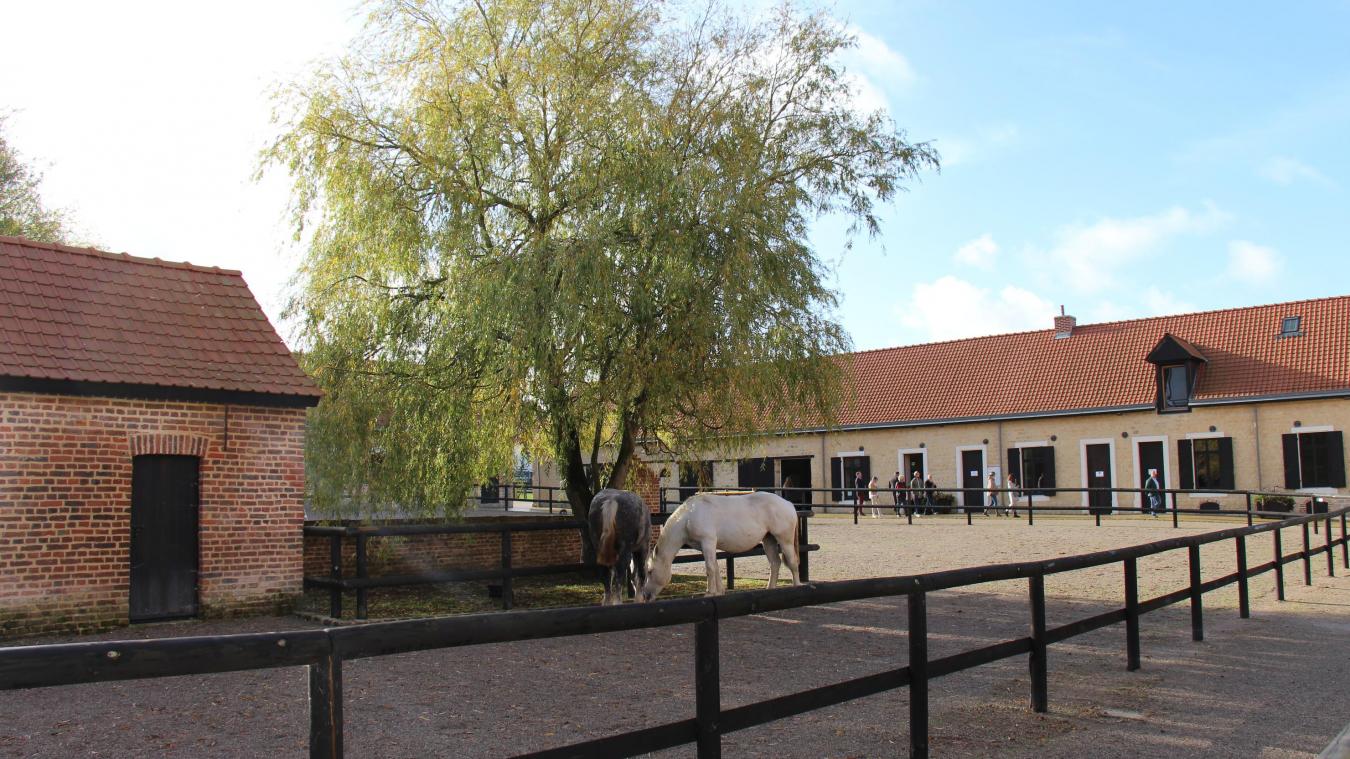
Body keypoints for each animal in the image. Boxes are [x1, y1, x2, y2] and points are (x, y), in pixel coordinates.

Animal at [639, 491, 800, 602]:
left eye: (650, 571)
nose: (646, 595)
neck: (689, 517)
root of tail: (788, 504)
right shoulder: (707, 546)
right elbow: (715, 567)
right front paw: (719, 592)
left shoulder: (708, 542)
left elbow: (710, 568)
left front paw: (709, 593)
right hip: (768, 540)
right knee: (775, 563)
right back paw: (770, 589)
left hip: (784, 540)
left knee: (792, 562)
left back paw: (797, 585)